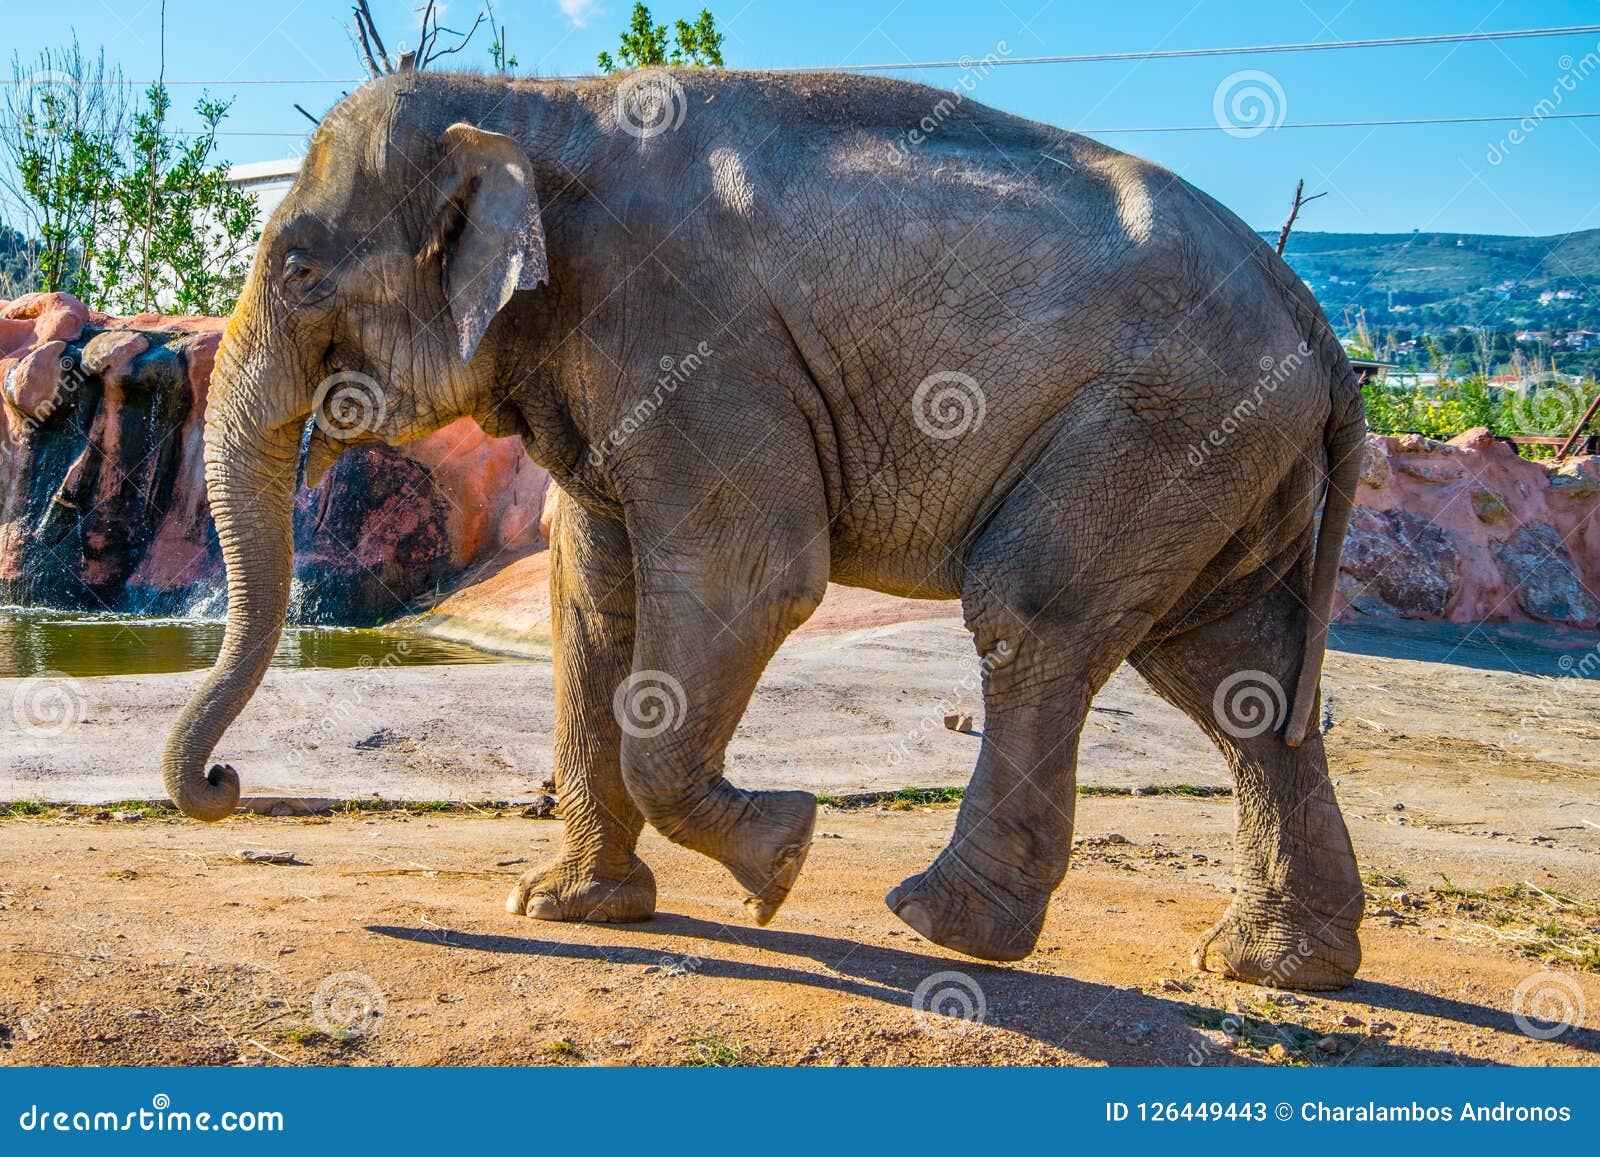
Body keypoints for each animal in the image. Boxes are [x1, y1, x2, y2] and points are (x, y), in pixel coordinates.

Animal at [162, 67, 1367, 990]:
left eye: (297, 270)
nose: (225, 783)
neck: (534, 106)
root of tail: (1311, 316)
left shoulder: (695, 340)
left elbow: (749, 574)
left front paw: (782, 860)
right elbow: (592, 597)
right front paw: (561, 906)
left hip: (1162, 422)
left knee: (1037, 616)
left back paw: (941, 924)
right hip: (1219, 453)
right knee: (1231, 672)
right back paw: (1271, 967)